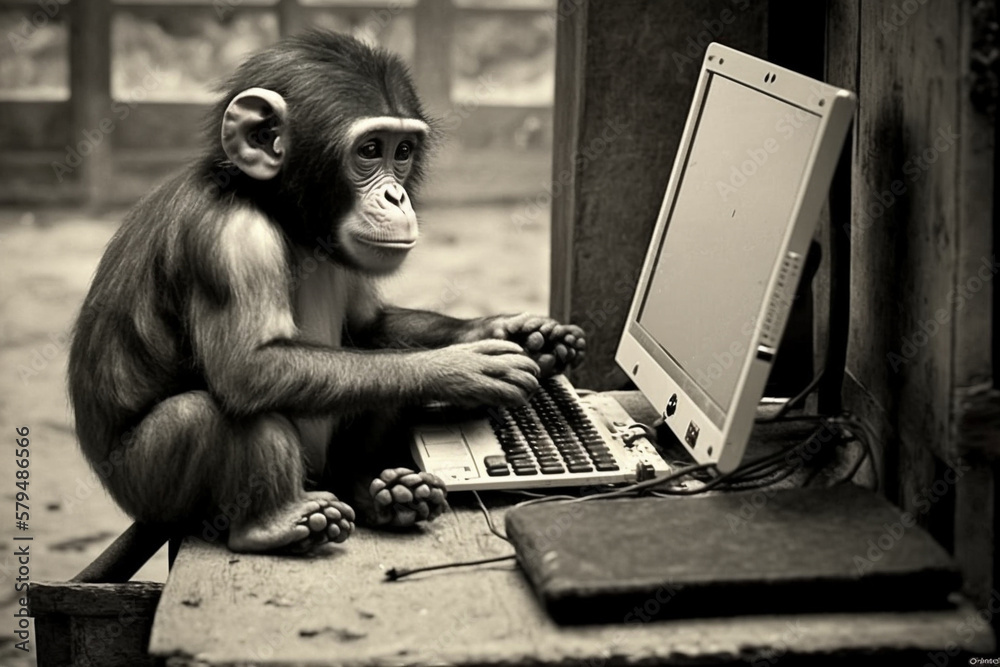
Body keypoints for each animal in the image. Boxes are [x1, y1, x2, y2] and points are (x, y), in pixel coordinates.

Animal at [68, 31, 587, 554]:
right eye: (370, 149)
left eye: (403, 152)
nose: (396, 196)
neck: (273, 205)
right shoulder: (229, 240)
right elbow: (249, 365)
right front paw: (458, 369)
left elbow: (368, 323)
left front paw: (524, 332)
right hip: (150, 489)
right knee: (209, 411)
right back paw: (277, 522)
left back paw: (384, 493)